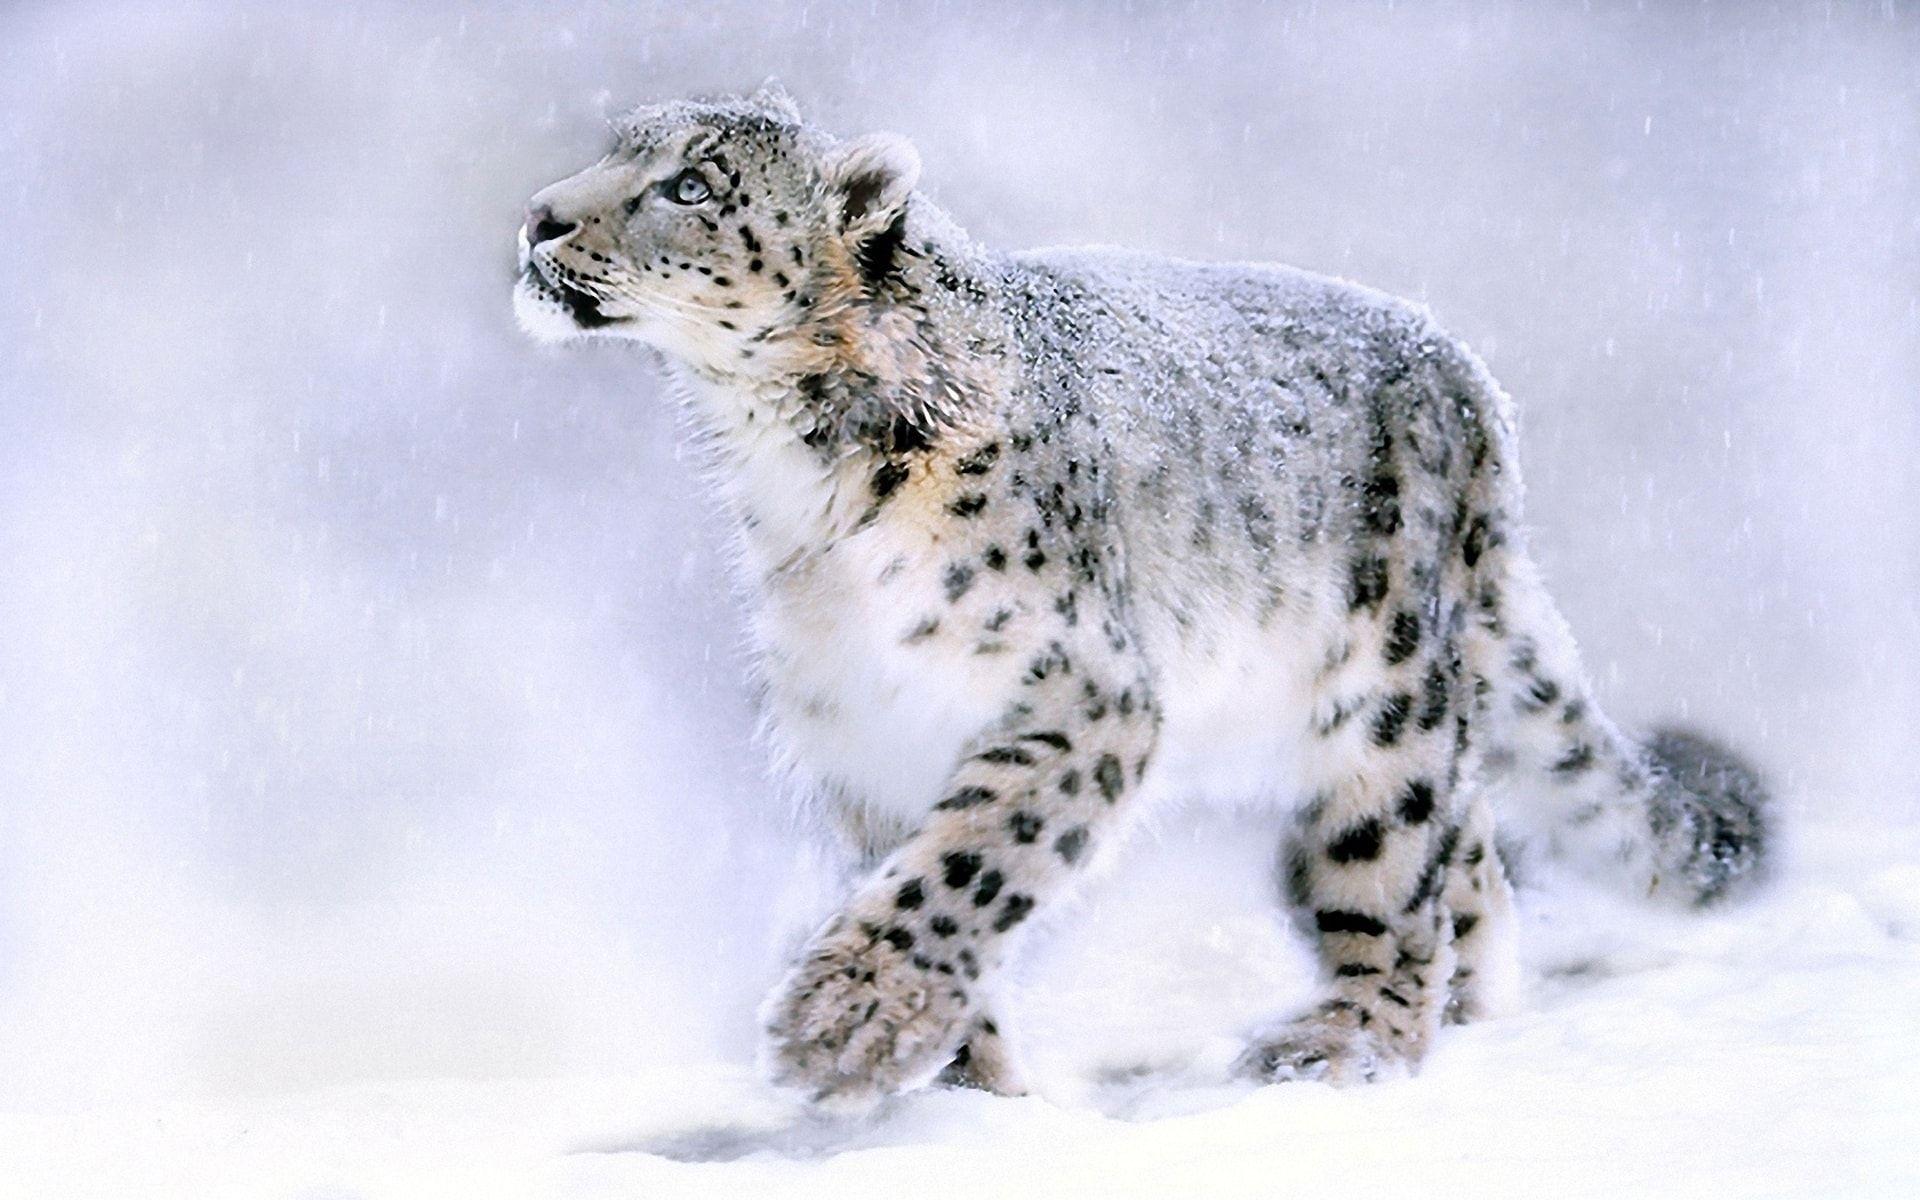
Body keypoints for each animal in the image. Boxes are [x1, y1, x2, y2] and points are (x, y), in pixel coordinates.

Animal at [513, 89, 1769, 1109]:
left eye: (690, 185)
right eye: (611, 150)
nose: (537, 217)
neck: (793, 482)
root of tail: (1469, 383)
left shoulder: (1080, 688)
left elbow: (968, 864)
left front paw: (843, 1029)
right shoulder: (863, 724)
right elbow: (911, 869)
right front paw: (961, 1082)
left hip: (1386, 691)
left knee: (1394, 867)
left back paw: (1349, 1039)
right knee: (1473, 858)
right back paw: (1472, 1008)